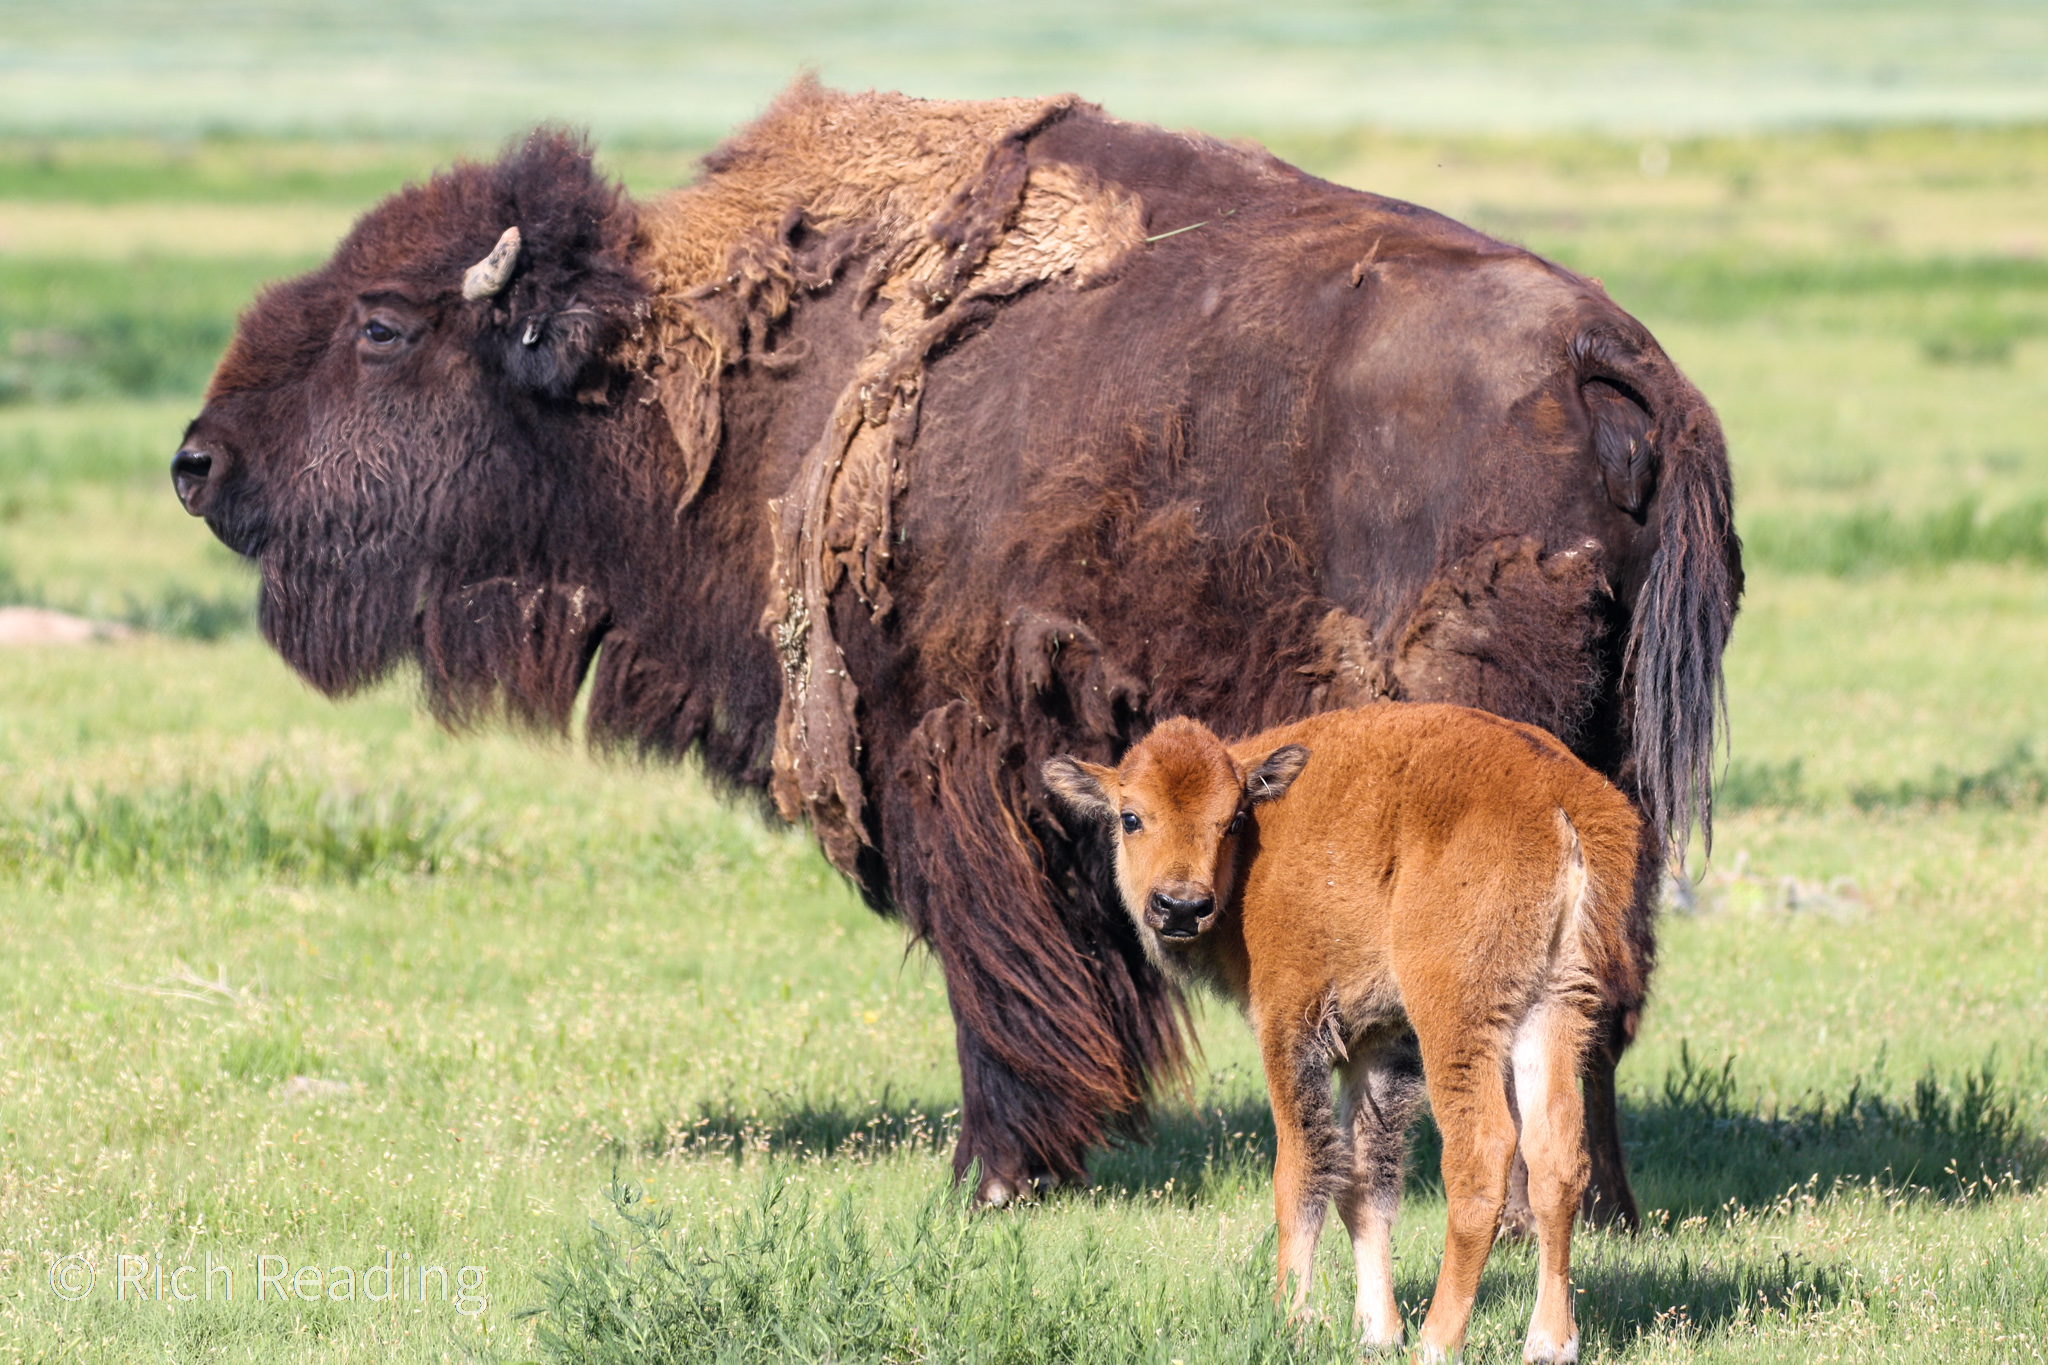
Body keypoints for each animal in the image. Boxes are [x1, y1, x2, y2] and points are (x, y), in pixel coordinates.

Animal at [172, 80, 1740, 1215]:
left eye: (382, 326)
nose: (199, 463)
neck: (702, 379)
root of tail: (1610, 359)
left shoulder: (948, 759)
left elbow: (1000, 970)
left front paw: (988, 1178)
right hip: (1607, 774)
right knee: (1598, 988)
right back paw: (1590, 1207)